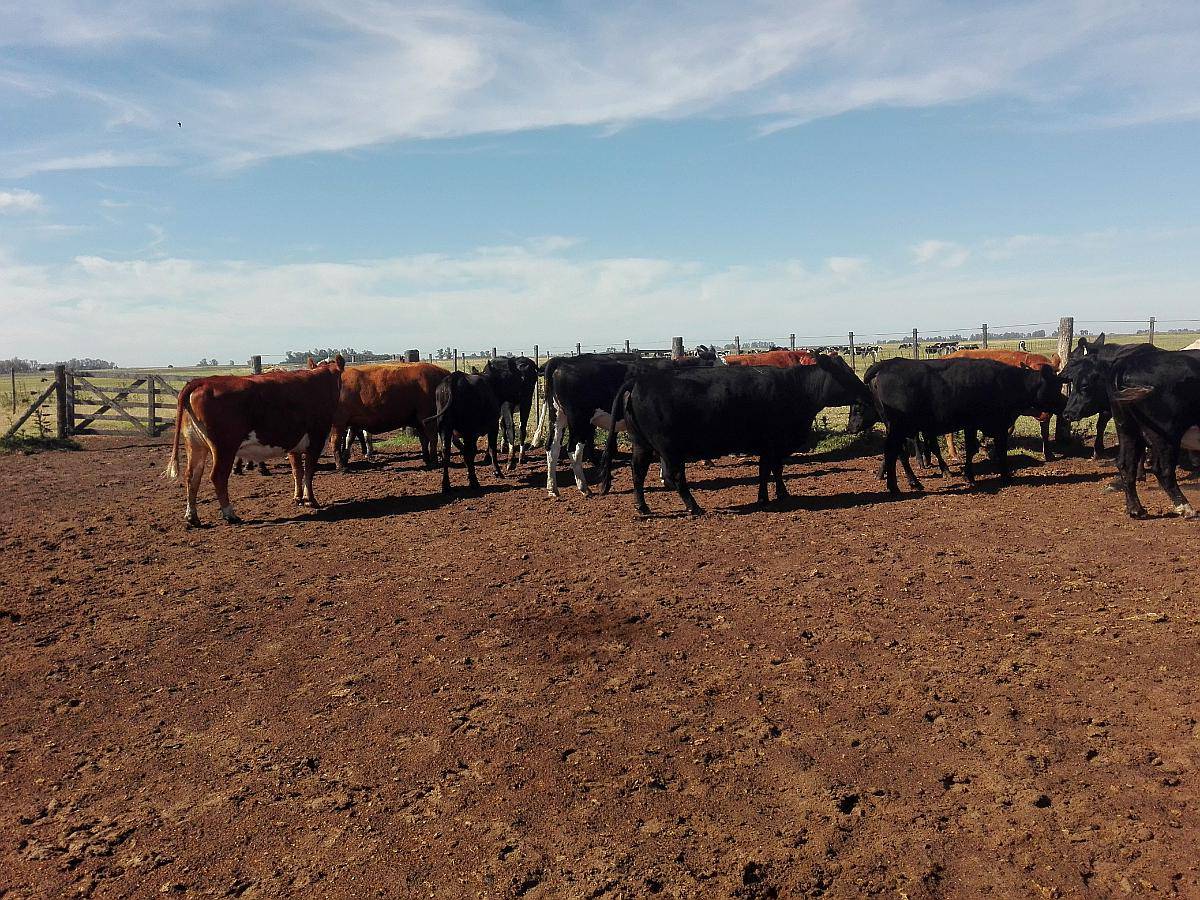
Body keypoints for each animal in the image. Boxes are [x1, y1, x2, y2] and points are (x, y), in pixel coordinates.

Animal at [162, 356, 345, 526]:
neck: (321, 381)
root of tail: (203, 381)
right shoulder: (316, 440)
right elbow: (308, 473)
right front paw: (311, 500)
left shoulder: (294, 445)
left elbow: (297, 472)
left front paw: (298, 498)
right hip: (224, 447)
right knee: (218, 476)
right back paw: (230, 514)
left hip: (195, 445)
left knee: (192, 477)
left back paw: (192, 517)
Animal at [597, 354, 872, 515]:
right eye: (845, 373)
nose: (867, 392)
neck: (795, 387)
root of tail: (639, 381)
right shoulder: (772, 443)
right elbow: (769, 469)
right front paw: (769, 497)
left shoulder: (771, 445)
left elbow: (772, 470)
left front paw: (777, 494)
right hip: (669, 447)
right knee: (675, 476)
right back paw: (694, 507)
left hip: (641, 444)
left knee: (637, 472)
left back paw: (643, 507)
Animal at [846, 357, 1064, 493]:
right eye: (1055, 386)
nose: (1065, 402)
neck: (1007, 383)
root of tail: (885, 365)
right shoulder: (998, 424)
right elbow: (1000, 450)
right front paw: (1005, 475)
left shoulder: (971, 424)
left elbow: (970, 449)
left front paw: (969, 475)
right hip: (898, 427)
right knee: (893, 451)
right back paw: (896, 486)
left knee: (896, 452)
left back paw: (910, 482)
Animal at [1062, 344, 1200, 518]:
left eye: (1084, 385)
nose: (1067, 413)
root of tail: (1124, 366)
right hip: (1166, 434)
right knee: (1163, 469)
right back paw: (1185, 507)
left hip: (1127, 428)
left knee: (1125, 463)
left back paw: (1135, 508)